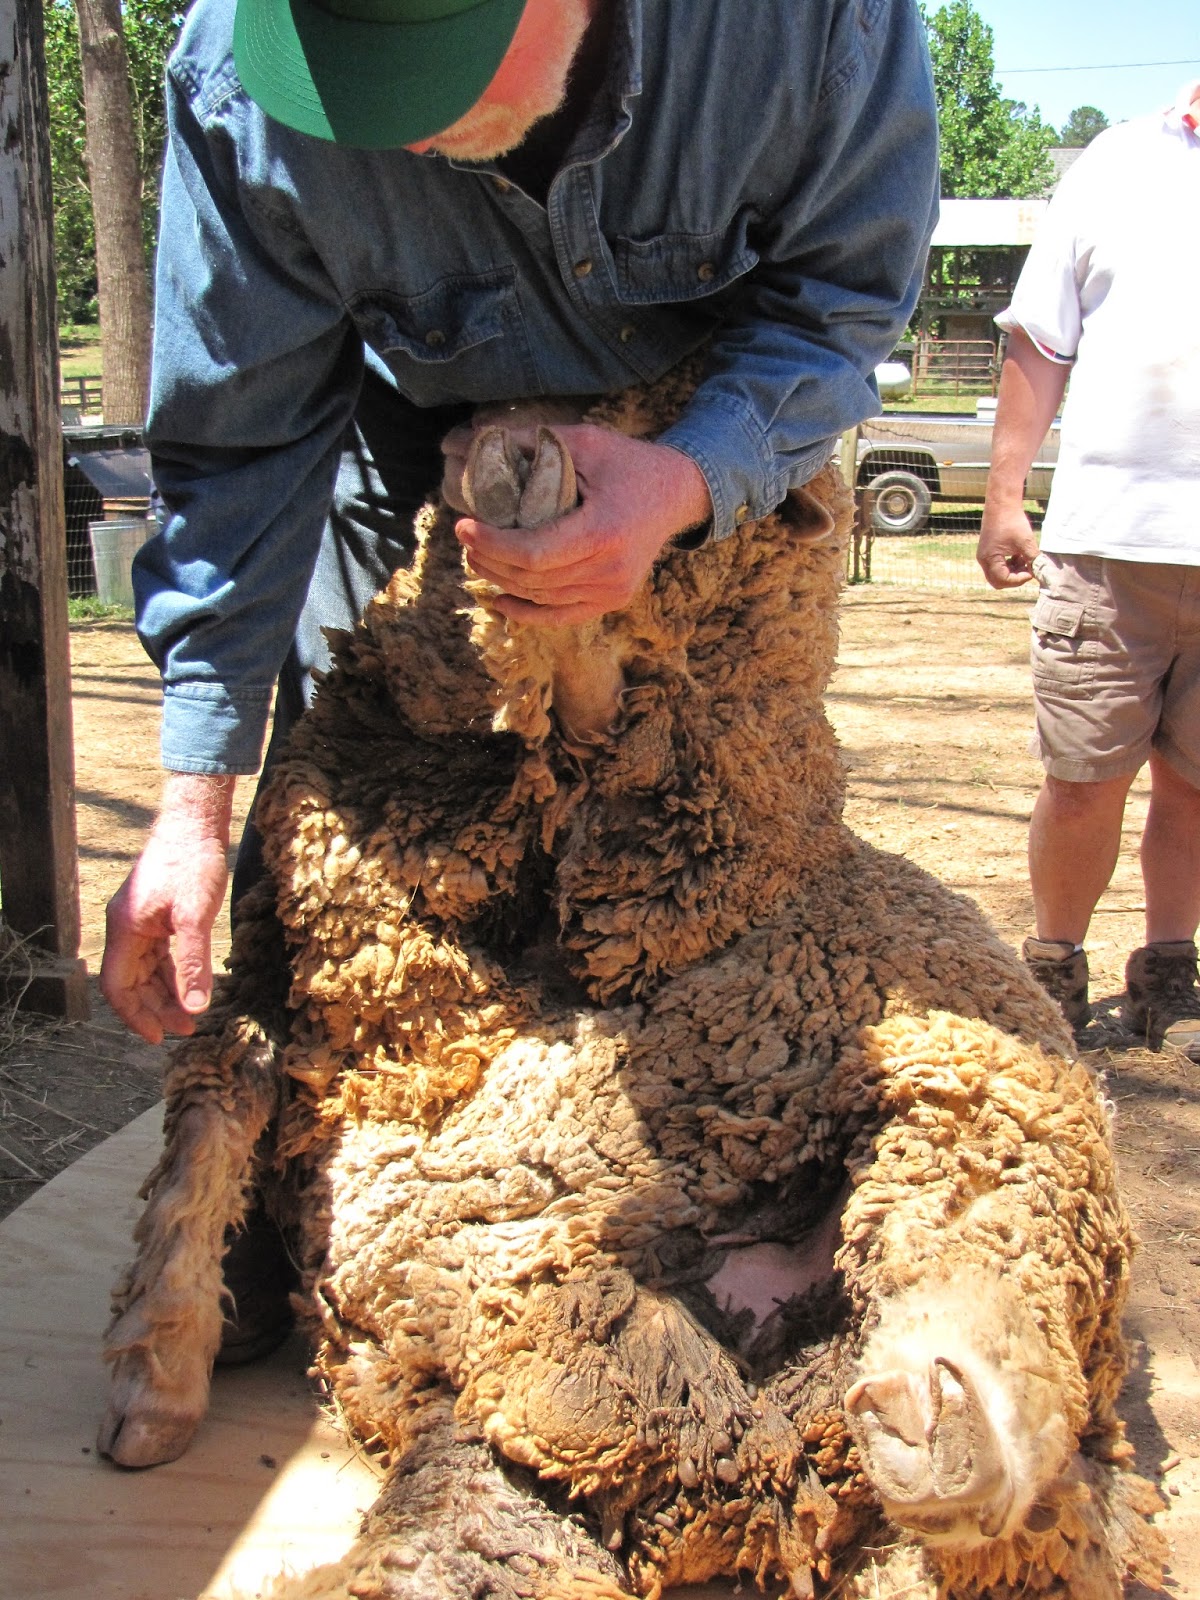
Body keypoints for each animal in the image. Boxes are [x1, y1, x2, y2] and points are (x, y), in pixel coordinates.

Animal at [99, 364, 1166, 1600]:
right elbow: (218, 1096)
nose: (511, 445)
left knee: (979, 1282)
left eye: (657, 453)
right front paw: (155, 1375)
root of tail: (779, 1463)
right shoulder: (304, 983)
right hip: (537, 1408)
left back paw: (946, 1429)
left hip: (985, 1112)